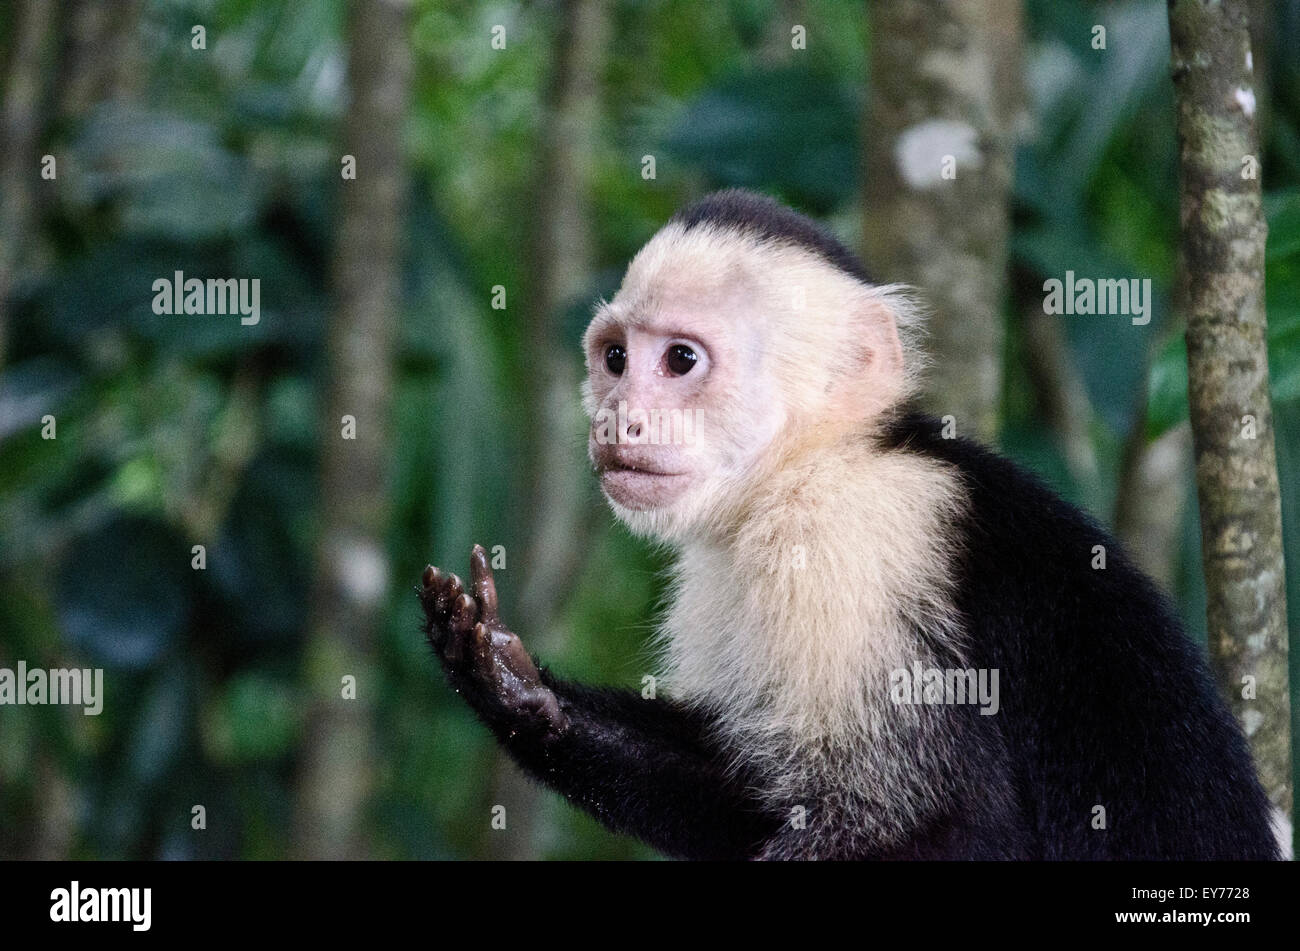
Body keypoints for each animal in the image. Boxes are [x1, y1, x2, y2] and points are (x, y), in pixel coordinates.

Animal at [419, 189, 1281, 860]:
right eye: (616, 358)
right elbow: (746, 795)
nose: (617, 420)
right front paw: (512, 684)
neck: (811, 463)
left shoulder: (856, 539)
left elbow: (953, 827)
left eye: (680, 361)